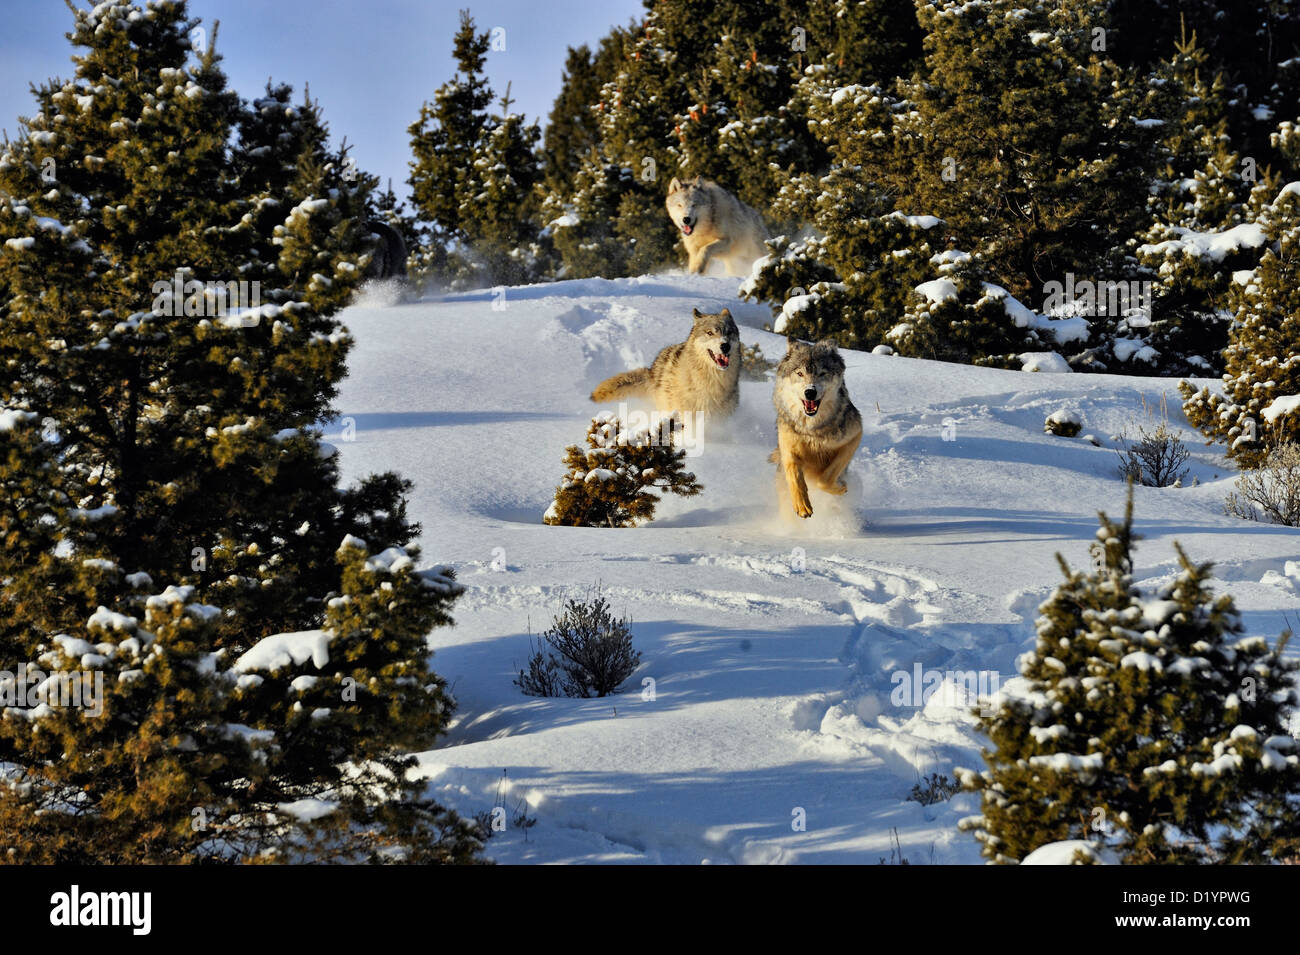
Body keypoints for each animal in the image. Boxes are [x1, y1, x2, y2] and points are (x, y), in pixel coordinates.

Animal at [770, 338, 862, 519]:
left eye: (822, 373)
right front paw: (802, 506)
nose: (810, 392)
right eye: (799, 373)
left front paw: (840, 487)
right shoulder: (788, 451)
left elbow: (824, 479)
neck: (811, 430)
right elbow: (794, 477)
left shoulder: (855, 434)